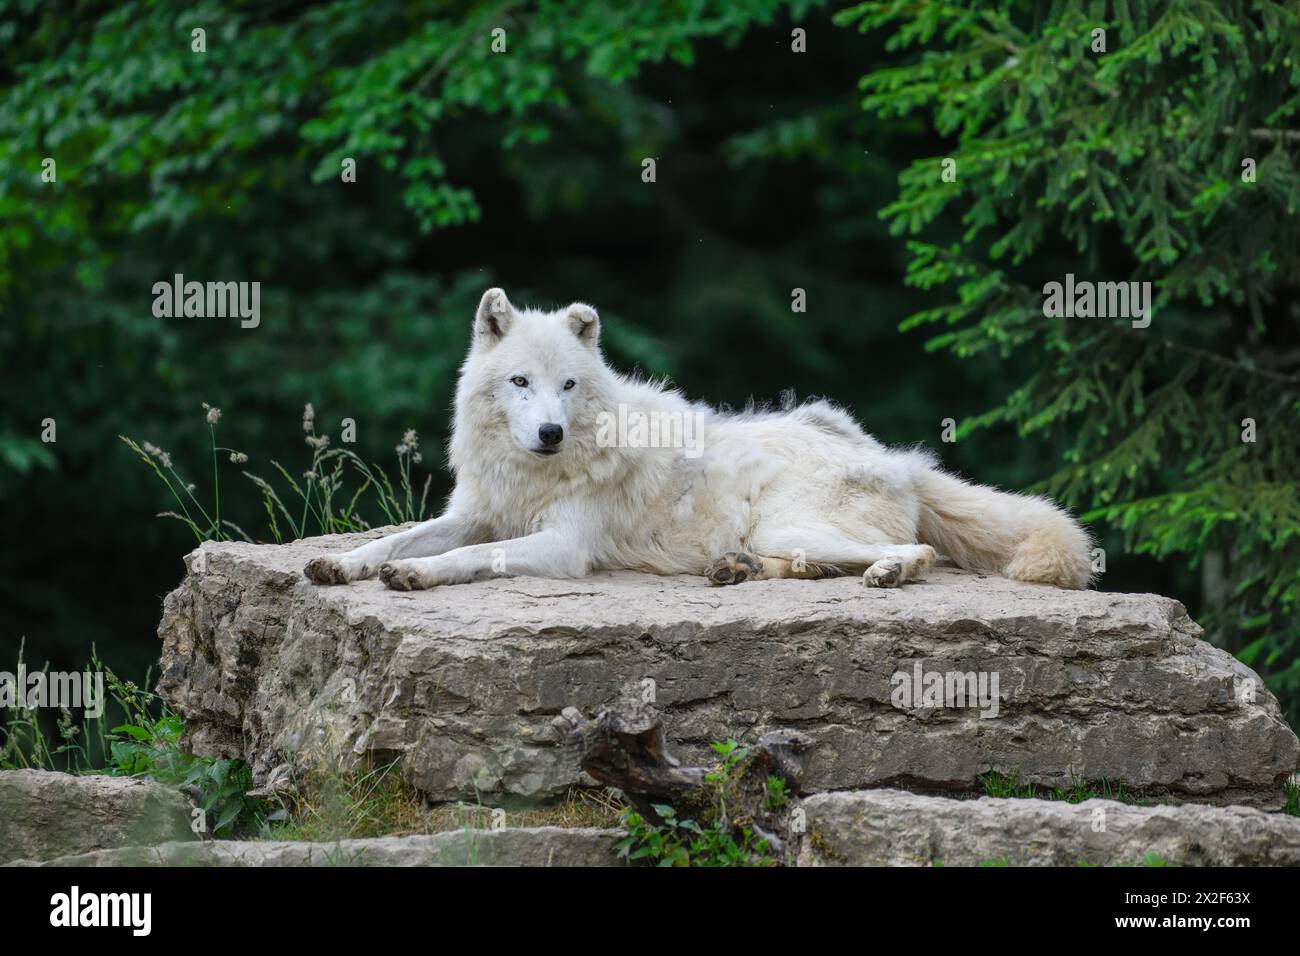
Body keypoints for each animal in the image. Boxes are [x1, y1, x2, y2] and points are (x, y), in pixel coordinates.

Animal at [304, 289, 1093, 592]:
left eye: (569, 386)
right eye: (522, 382)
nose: (551, 433)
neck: (538, 474)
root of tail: (895, 458)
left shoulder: (561, 548)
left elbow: (467, 558)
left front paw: (418, 576)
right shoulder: (477, 512)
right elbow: (396, 539)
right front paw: (343, 565)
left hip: (789, 521)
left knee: (916, 552)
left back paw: (886, 572)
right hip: (782, 532)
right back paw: (739, 570)